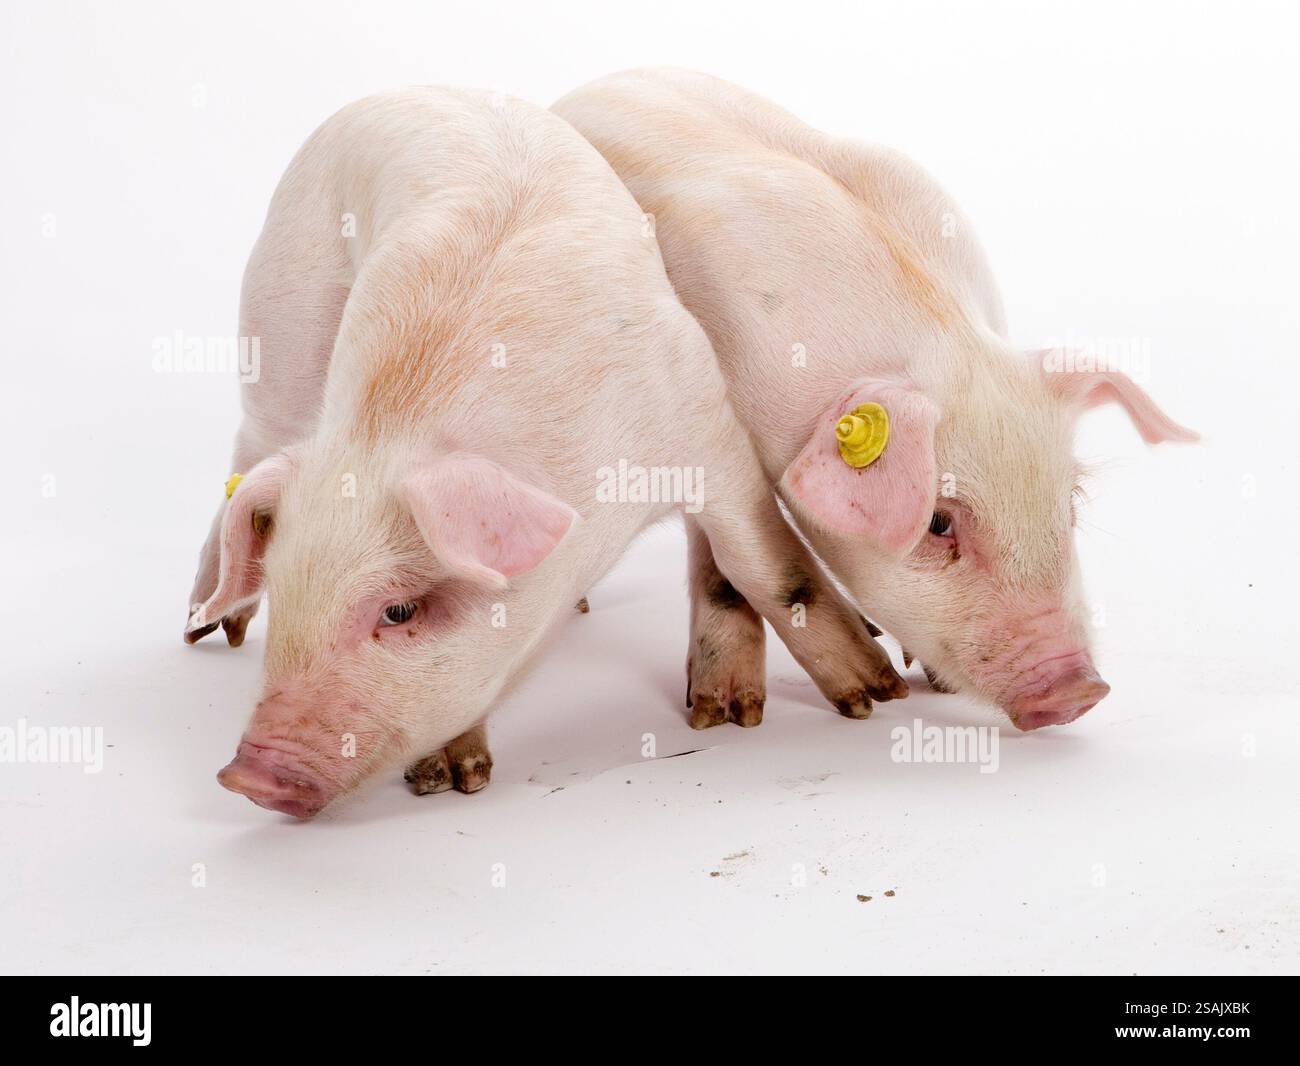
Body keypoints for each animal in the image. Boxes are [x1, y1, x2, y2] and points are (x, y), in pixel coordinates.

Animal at [184, 87, 907, 818]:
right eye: (284, 589)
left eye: (399, 610)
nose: (248, 778)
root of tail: (397, 93)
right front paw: (452, 781)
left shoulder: (701, 422)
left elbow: (765, 564)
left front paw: (871, 698)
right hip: (281, 327)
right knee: (251, 452)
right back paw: (204, 628)